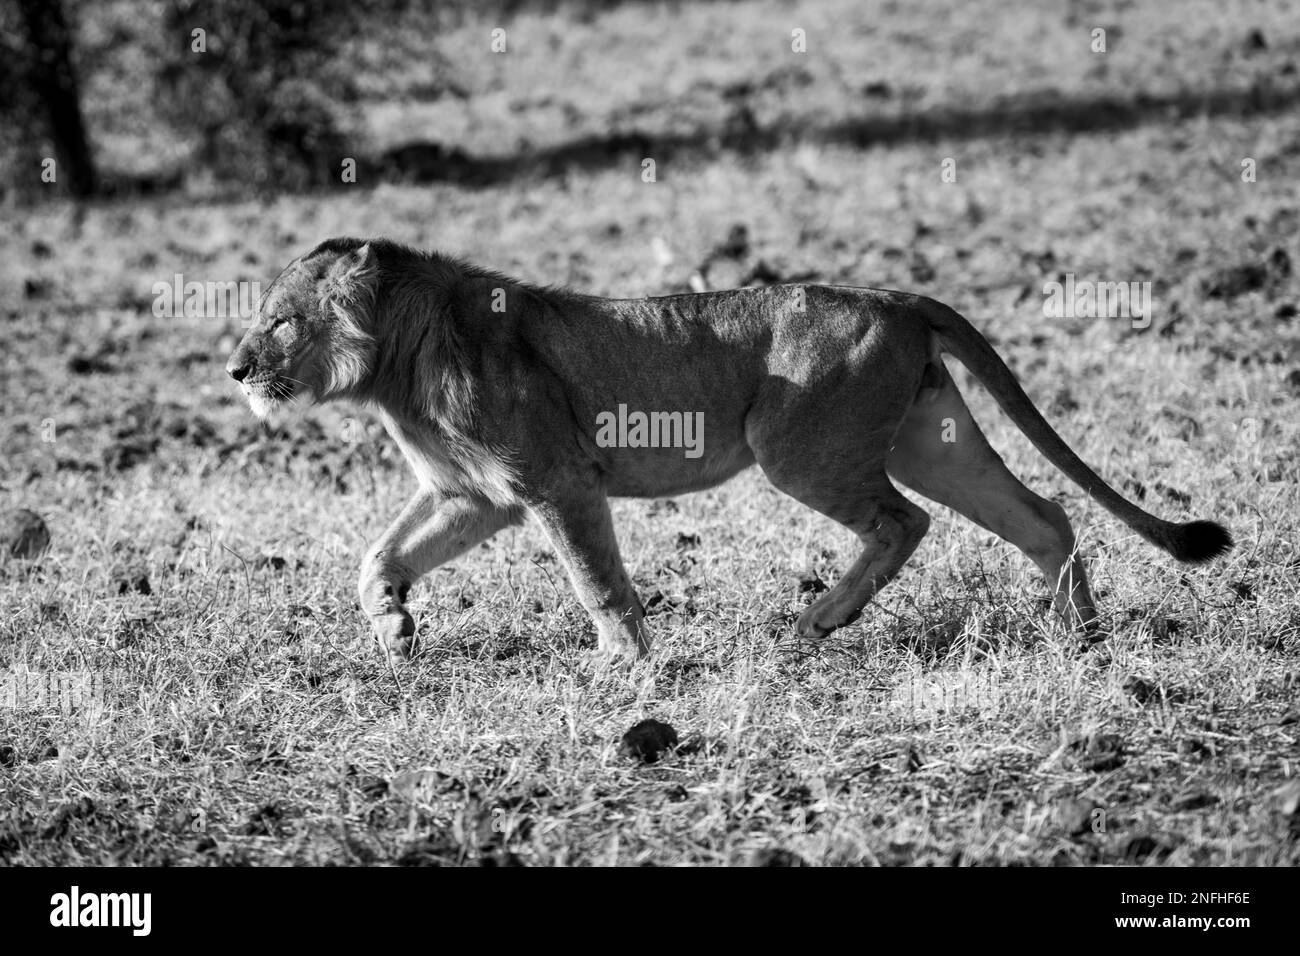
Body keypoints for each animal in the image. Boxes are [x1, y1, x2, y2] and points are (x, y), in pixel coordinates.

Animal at [226, 237, 1232, 664]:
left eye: (279, 321)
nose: (236, 369)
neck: (393, 364)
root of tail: (897, 297)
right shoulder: (475, 494)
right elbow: (379, 554)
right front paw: (393, 626)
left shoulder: (553, 482)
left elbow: (596, 579)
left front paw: (623, 666)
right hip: (932, 441)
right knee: (1042, 513)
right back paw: (1081, 635)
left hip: (800, 450)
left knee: (902, 522)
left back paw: (821, 620)